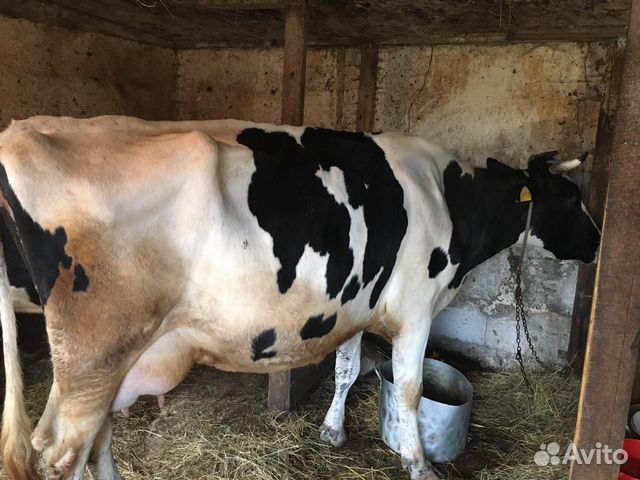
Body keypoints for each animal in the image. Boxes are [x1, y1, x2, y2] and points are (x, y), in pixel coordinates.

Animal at [0, 115, 599, 480]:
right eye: (572, 199)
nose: (597, 242)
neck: (448, 195)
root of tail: (22, 132)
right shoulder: (415, 308)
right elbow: (408, 390)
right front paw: (419, 463)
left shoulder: (358, 304)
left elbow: (348, 368)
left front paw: (334, 430)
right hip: (95, 354)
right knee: (59, 452)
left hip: (106, 364)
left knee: (89, 440)